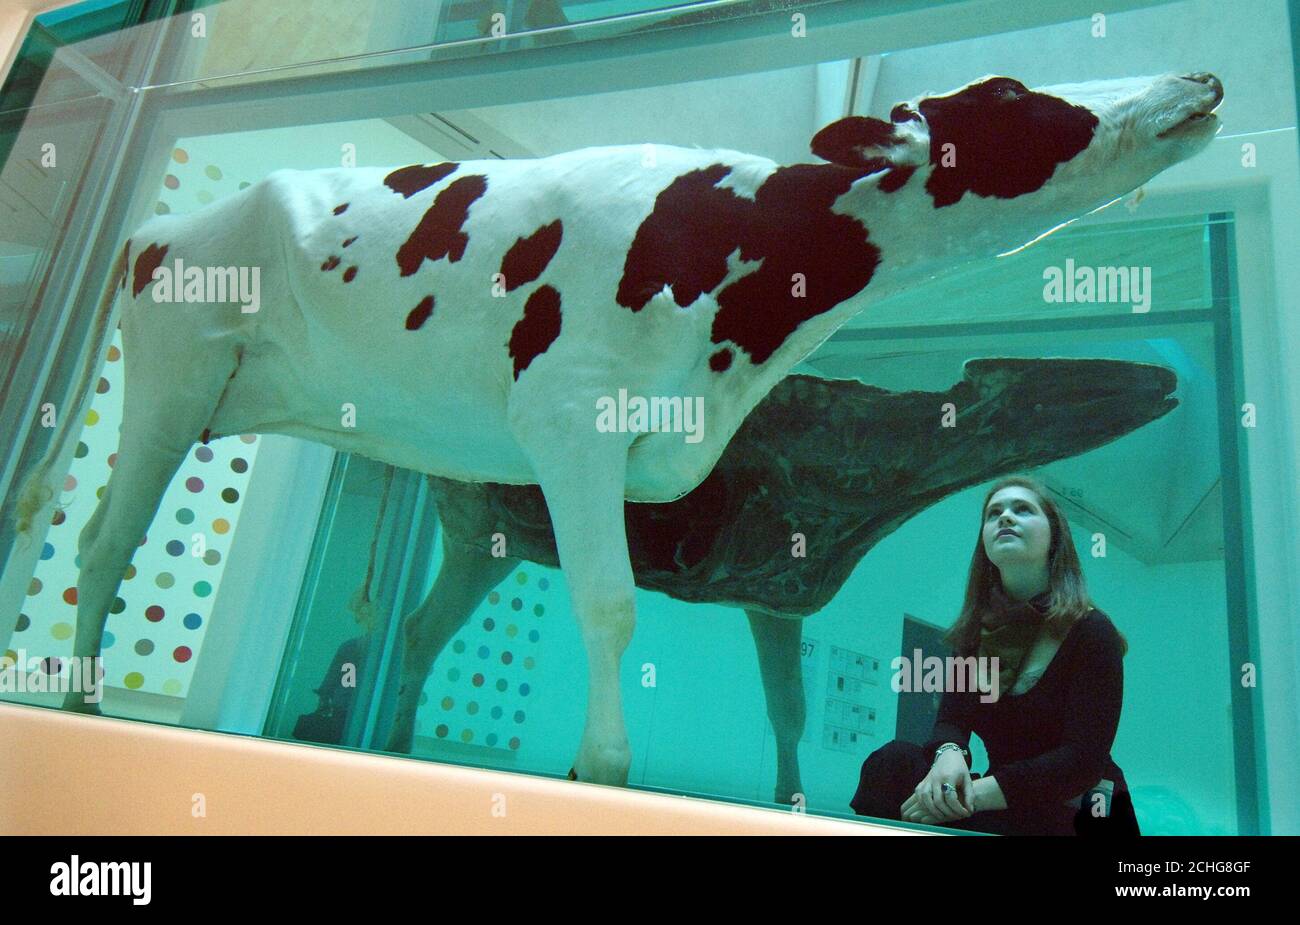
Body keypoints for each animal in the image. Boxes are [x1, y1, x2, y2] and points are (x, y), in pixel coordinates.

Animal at [15, 72, 1222, 786]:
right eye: (1011, 93)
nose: (1199, 79)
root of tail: (164, 224)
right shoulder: (571, 417)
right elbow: (608, 604)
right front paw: (602, 768)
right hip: (177, 378)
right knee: (103, 540)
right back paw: (79, 696)